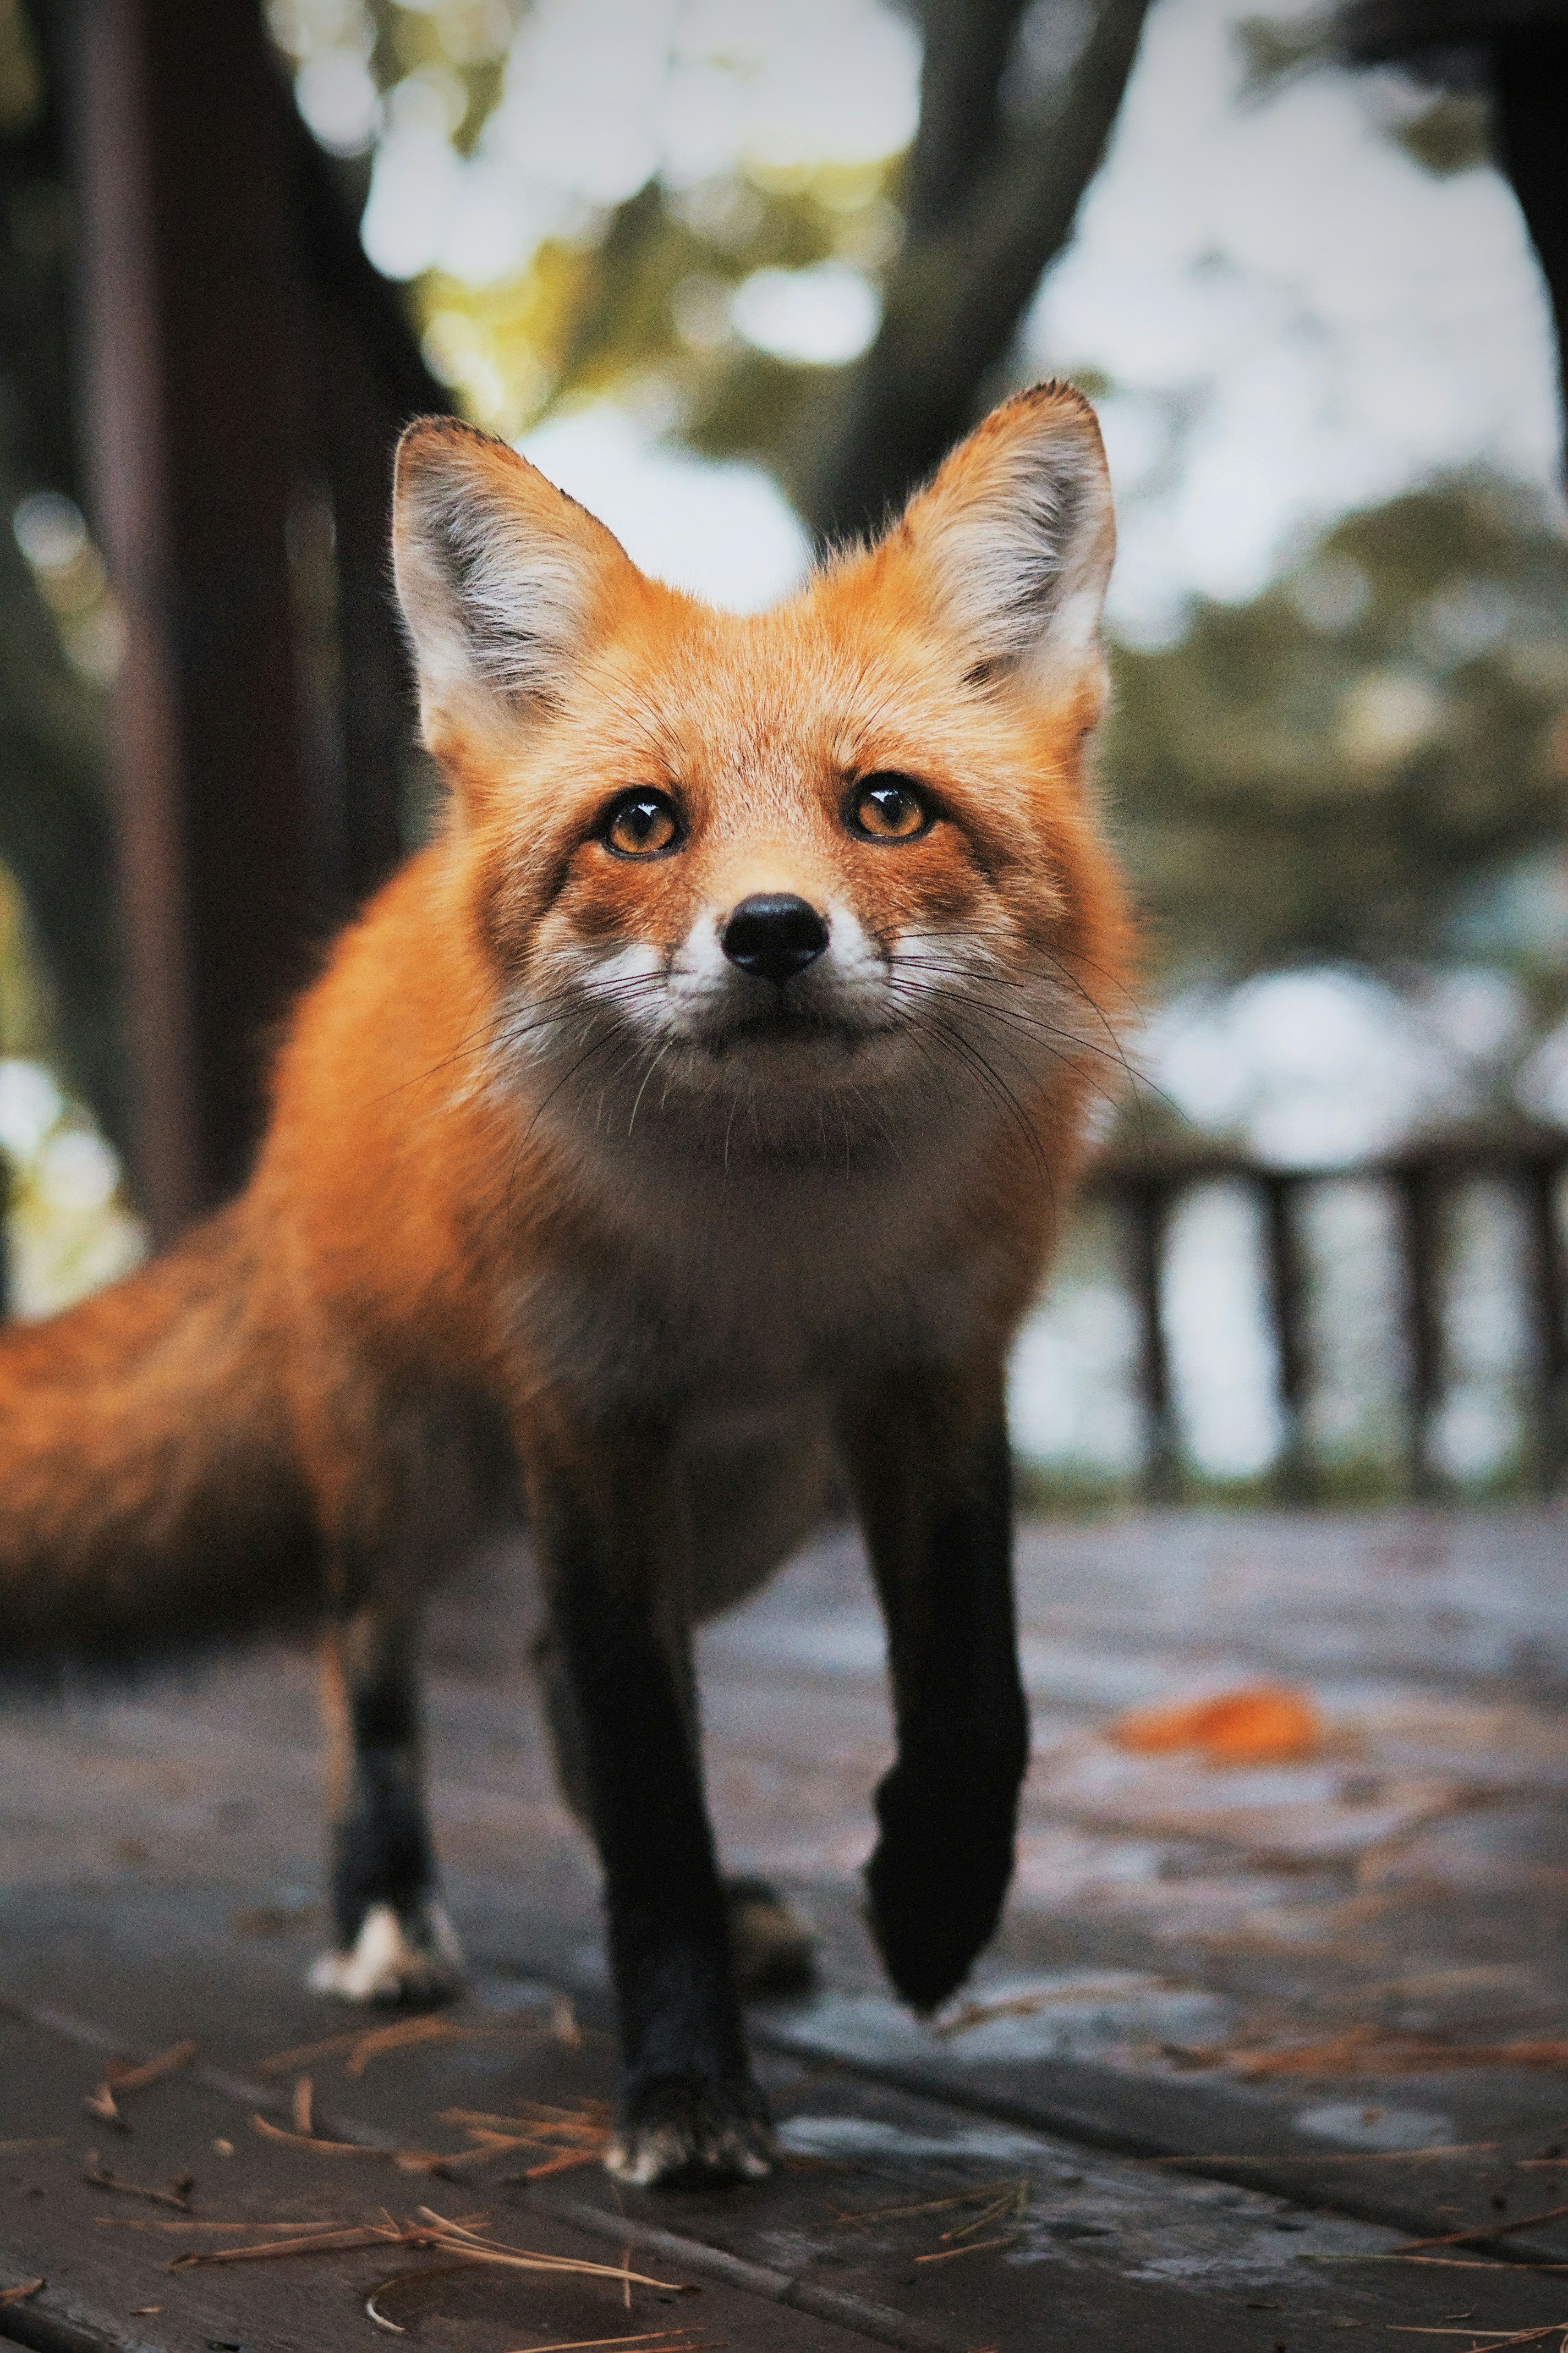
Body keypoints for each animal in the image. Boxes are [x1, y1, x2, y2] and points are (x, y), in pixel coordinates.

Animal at [0, 382, 1129, 2187]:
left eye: (888, 808)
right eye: (643, 823)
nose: (771, 932)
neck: (767, 1247)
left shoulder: (933, 1376)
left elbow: (973, 1701)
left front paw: (935, 1910)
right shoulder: (583, 1410)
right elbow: (652, 1793)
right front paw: (683, 2090)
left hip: (751, 1501)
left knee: (536, 1665)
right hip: (411, 1469)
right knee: (365, 1668)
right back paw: (385, 1913)